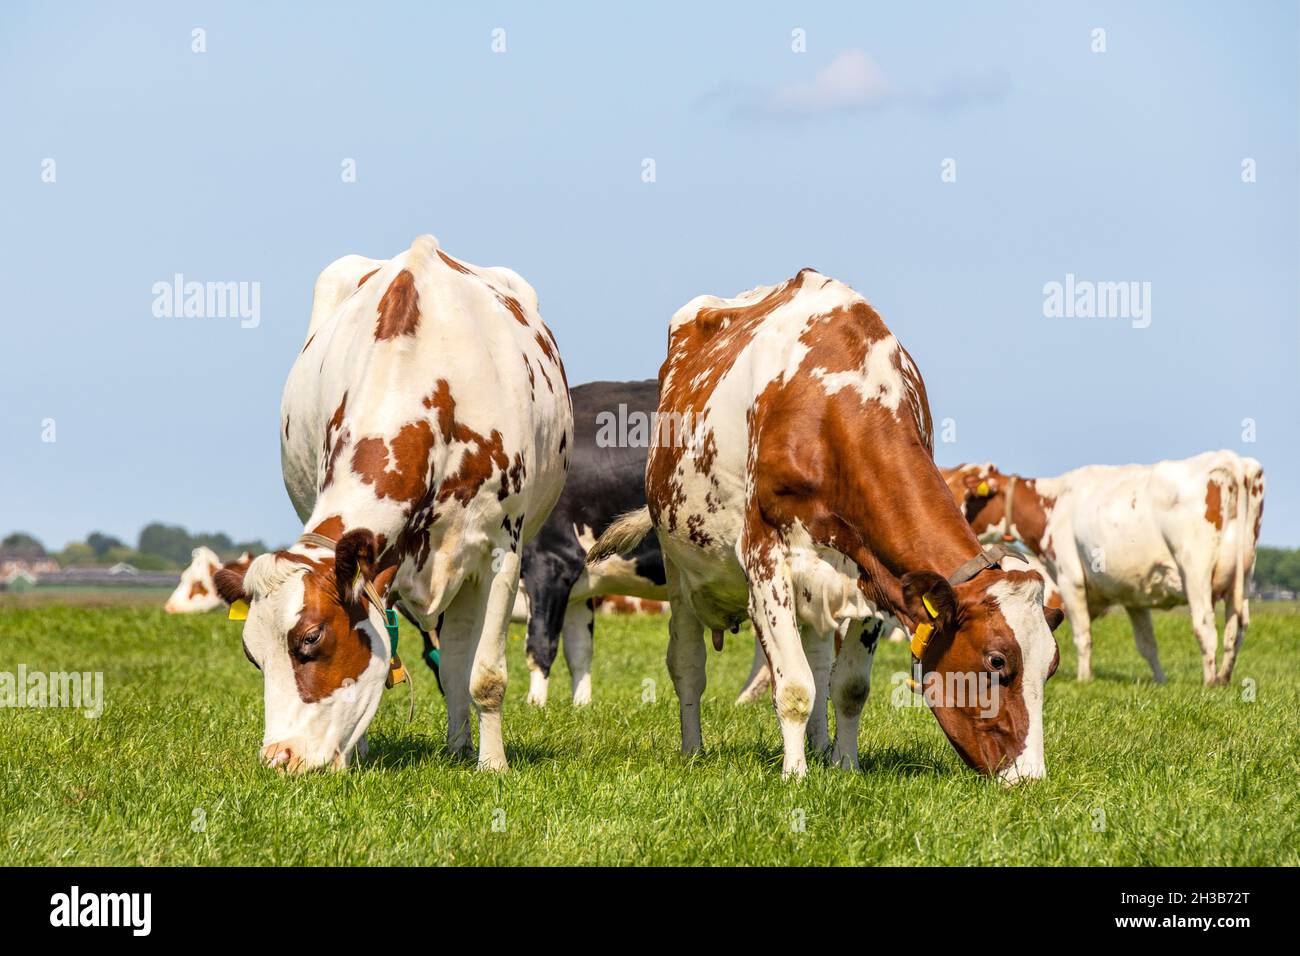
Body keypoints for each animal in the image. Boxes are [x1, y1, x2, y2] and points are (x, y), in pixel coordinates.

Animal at [215, 235, 571, 773]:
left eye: (311, 639)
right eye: (254, 656)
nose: (279, 757)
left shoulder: (500, 553)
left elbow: (485, 675)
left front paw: (493, 765)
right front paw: (357, 754)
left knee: (459, 659)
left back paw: (461, 746)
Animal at [588, 269, 1063, 781]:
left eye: (1051, 665)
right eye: (996, 661)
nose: (1030, 777)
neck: (836, 404)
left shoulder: (875, 572)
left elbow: (848, 687)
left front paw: (845, 765)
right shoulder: (766, 559)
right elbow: (794, 687)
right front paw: (794, 775)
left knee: (817, 659)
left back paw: (819, 747)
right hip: (679, 566)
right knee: (687, 664)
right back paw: (694, 750)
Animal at [952, 452, 1264, 685]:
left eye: (968, 494)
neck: (1055, 503)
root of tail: (1230, 459)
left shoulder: (1070, 578)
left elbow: (1082, 635)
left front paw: (1083, 679)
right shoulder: (1133, 595)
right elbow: (1147, 644)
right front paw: (1160, 681)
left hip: (1195, 573)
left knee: (1205, 627)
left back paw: (1210, 681)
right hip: (1243, 576)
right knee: (1237, 630)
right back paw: (1223, 678)